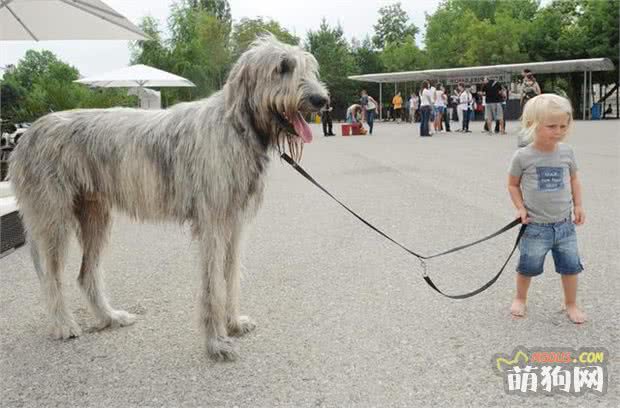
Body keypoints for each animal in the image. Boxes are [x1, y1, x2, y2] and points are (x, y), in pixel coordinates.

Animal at [9, 35, 330, 360]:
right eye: (282, 67)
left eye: (308, 67)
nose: (321, 100)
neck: (236, 128)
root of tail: (26, 135)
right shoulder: (211, 223)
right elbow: (212, 284)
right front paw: (216, 342)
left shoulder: (235, 223)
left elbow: (231, 275)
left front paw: (233, 323)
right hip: (53, 219)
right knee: (51, 276)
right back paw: (63, 324)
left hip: (95, 216)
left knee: (86, 274)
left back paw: (110, 317)